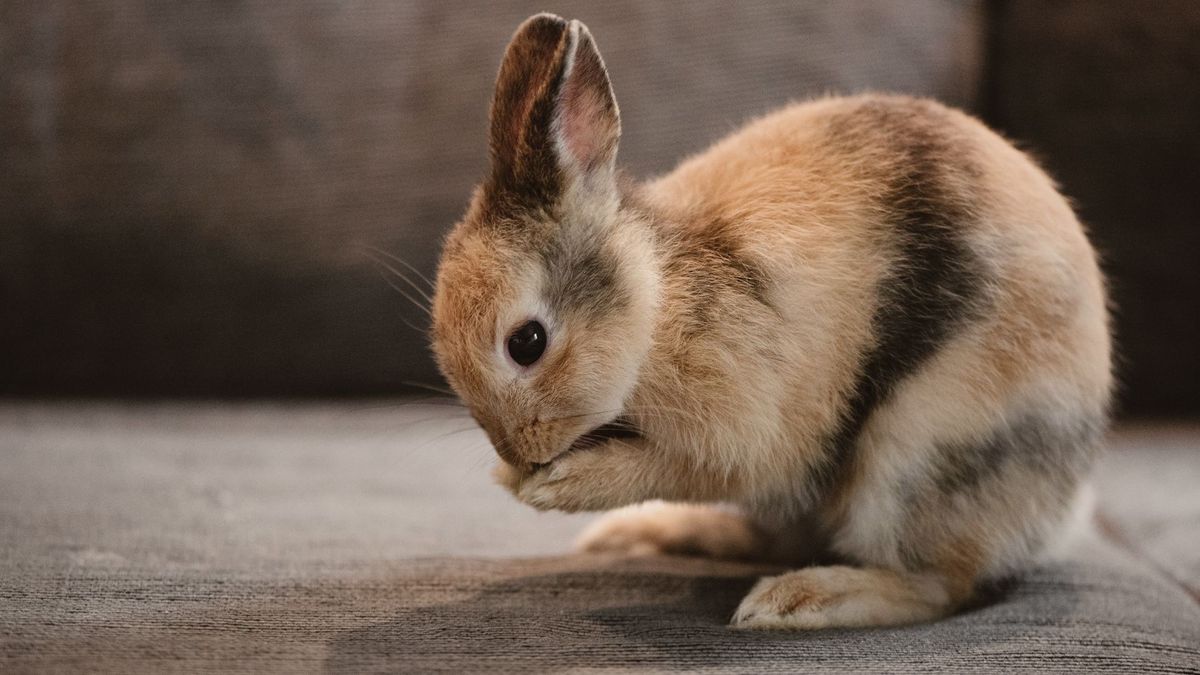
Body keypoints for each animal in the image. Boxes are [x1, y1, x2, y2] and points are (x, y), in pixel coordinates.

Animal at [430, 13, 1112, 630]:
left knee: (939, 584)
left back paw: (794, 601)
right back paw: (653, 535)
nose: (517, 451)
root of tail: (1061, 508)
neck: (657, 305)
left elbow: (677, 468)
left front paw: (551, 487)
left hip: (919, 458)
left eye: (527, 342)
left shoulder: (749, 434)